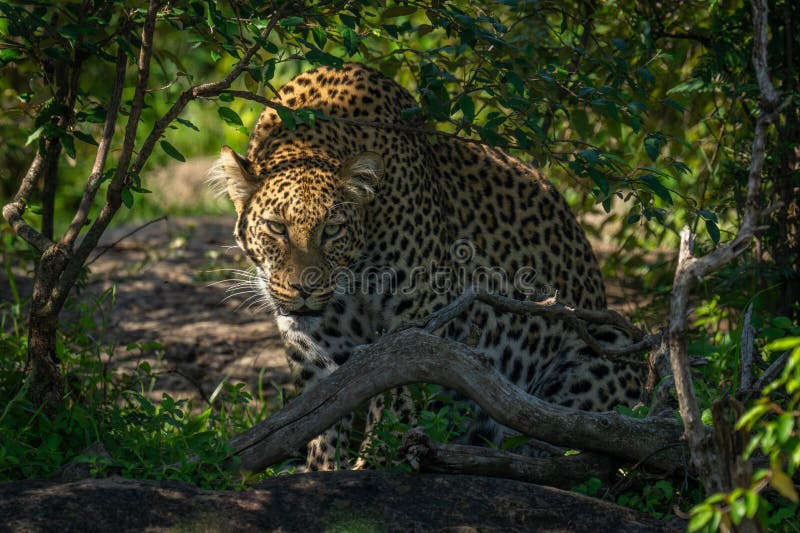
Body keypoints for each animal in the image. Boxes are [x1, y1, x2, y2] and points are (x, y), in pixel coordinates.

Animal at [210, 63, 646, 471]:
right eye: (276, 228)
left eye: (332, 231)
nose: (304, 288)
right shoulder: (313, 337)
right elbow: (318, 416)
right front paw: (322, 470)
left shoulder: (419, 310)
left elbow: (397, 398)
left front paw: (377, 464)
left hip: (606, 339)